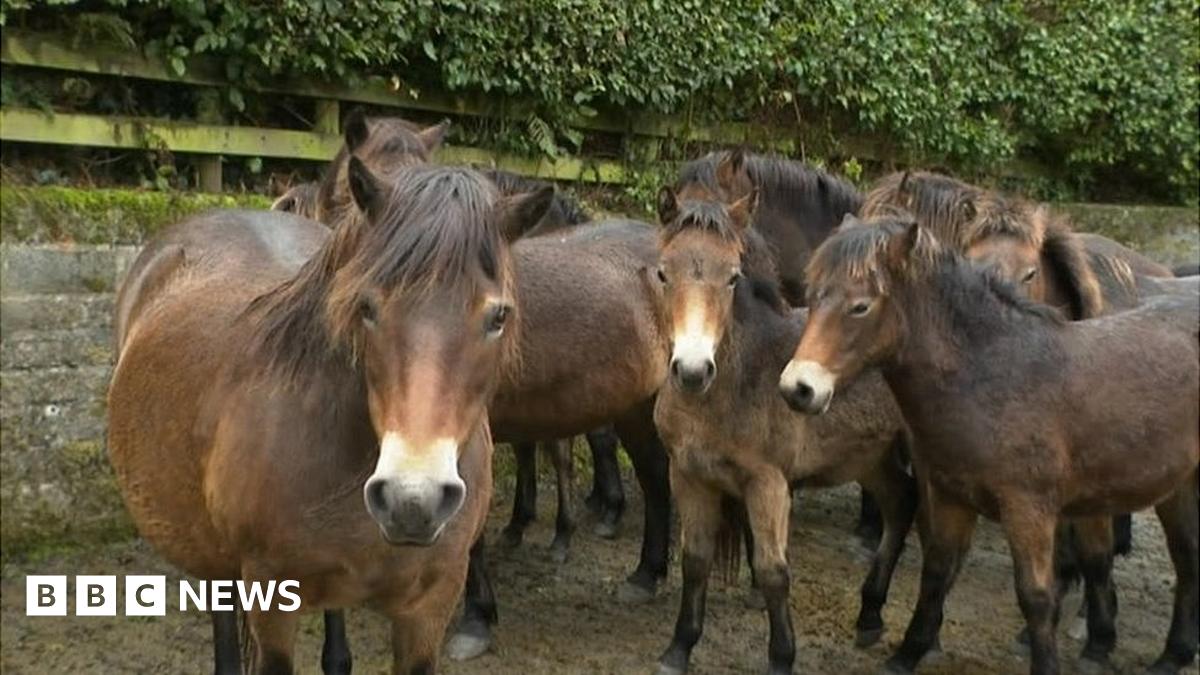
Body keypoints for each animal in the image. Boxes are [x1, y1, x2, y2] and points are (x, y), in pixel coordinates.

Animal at [650, 189, 918, 675]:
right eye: (663, 273)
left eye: (732, 277)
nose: (693, 370)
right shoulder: (689, 475)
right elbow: (695, 559)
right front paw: (679, 647)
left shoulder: (768, 483)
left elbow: (774, 572)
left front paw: (781, 657)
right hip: (870, 456)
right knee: (900, 503)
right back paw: (869, 616)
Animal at [779, 213, 1199, 675]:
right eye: (812, 297)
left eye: (860, 306)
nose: (798, 388)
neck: (993, 373)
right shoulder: (950, 497)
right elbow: (936, 574)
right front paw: (907, 654)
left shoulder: (1029, 510)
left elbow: (1036, 597)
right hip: (1178, 488)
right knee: (1187, 558)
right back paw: (1173, 654)